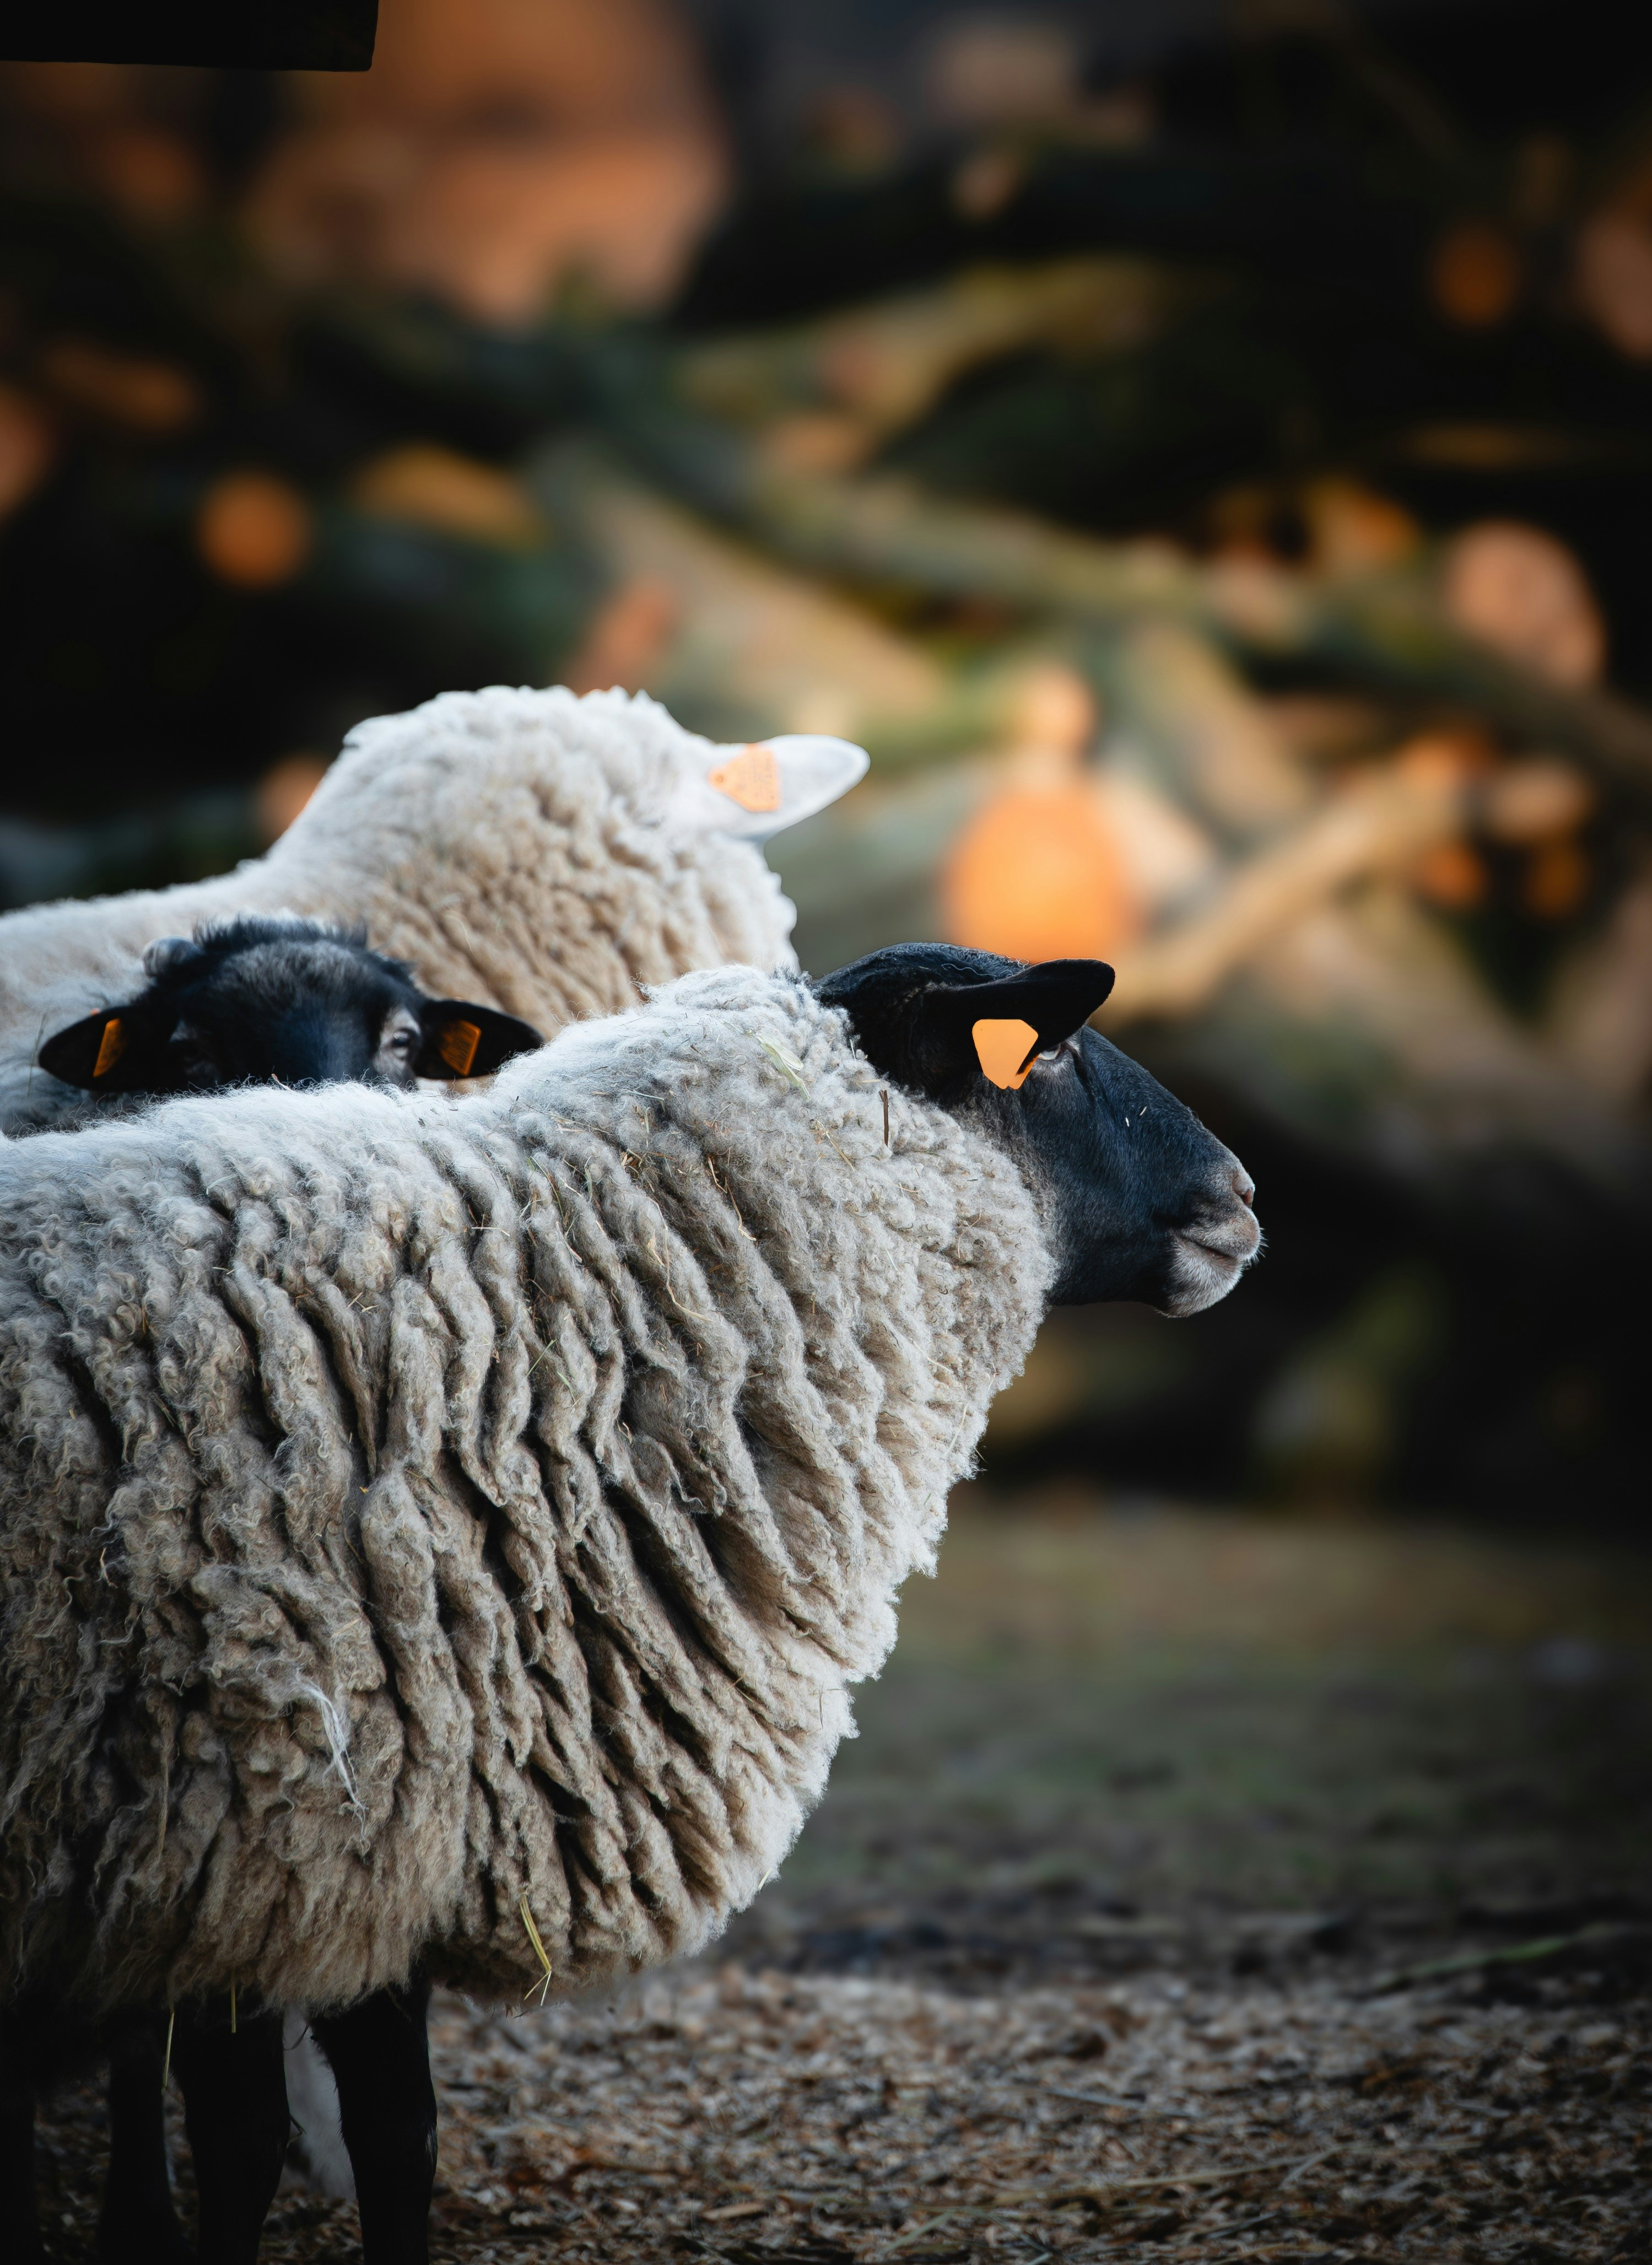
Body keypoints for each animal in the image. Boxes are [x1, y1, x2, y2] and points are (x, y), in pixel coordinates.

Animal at [0, 943, 1260, 2264]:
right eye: (1048, 1049)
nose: (1239, 1195)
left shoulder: (297, 1859)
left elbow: (357, 2132)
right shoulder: (293, 1829)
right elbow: (311, 2137)